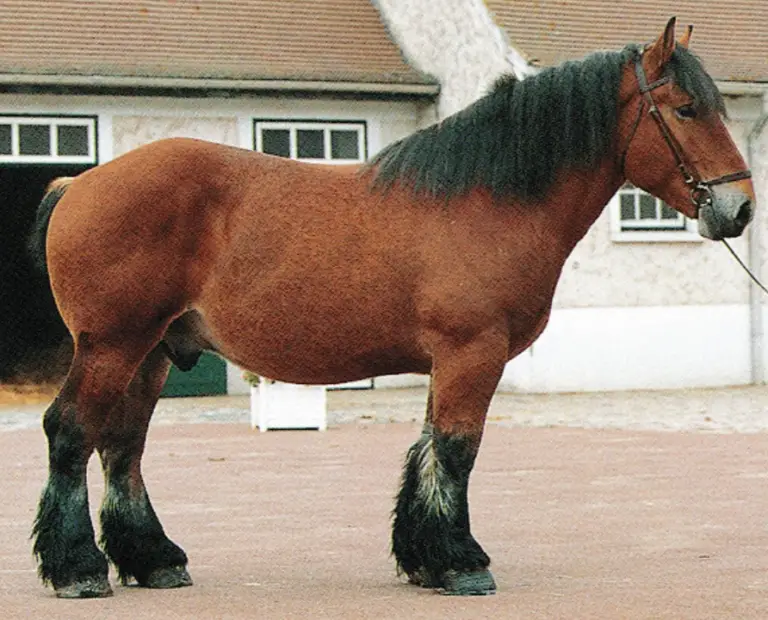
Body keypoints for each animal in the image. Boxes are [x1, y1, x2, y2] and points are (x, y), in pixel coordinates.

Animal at [23, 18, 754, 598]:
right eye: (686, 108)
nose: (739, 208)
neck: (488, 200)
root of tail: (78, 182)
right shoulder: (471, 352)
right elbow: (456, 450)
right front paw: (461, 562)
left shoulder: (450, 360)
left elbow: (429, 449)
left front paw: (424, 556)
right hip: (113, 345)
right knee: (71, 434)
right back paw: (78, 569)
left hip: (149, 352)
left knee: (122, 447)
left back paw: (153, 559)